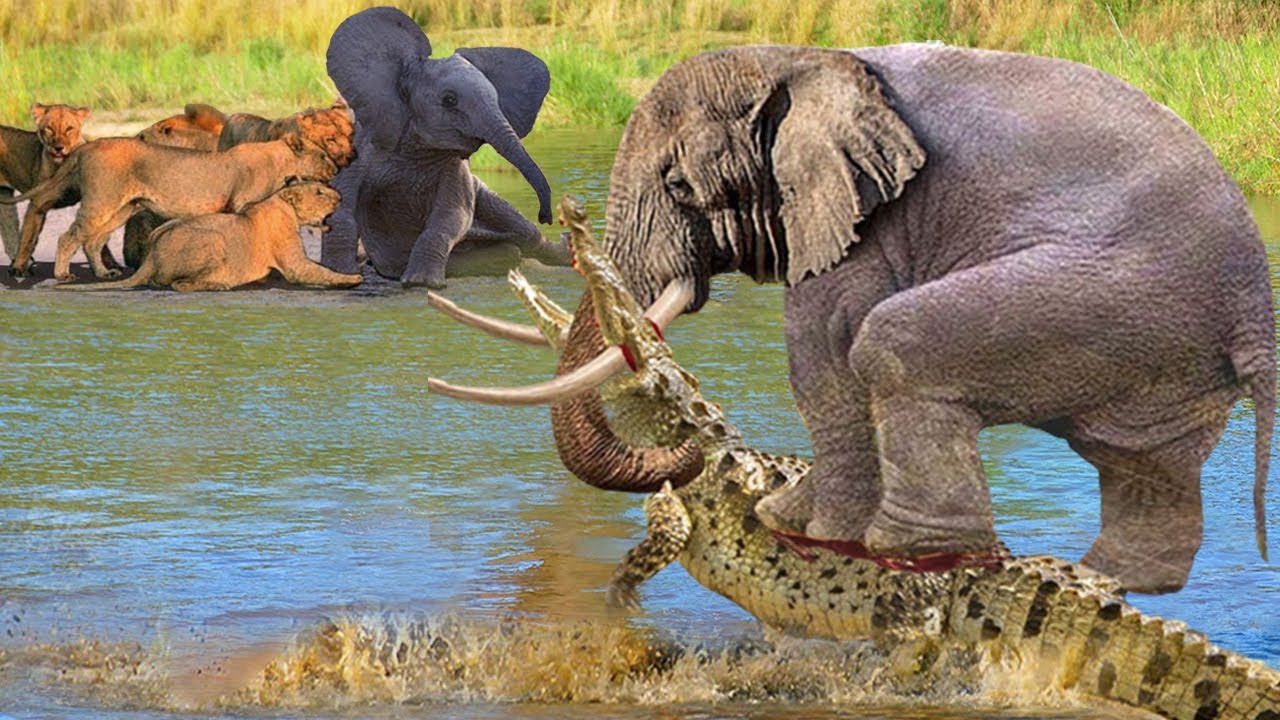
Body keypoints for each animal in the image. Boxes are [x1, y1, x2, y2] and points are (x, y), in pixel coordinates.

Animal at [322, 6, 570, 288]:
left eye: (497, 99)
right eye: (449, 100)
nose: (546, 216)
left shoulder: (456, 167)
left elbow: (451, 216)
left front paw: (423, 283)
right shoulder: (359, 145)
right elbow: (341, 210)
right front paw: (342, 278)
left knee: (526, 234)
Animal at [443, 45, 1276, 595]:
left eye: (679, 184)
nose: (677, 462)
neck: (792, 62)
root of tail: (1254, 311)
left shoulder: (864, 213)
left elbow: (820, 346)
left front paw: (793, 524)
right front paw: (785, 515)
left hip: (1106, 295)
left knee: (896, 344)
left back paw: (911, 548)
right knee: (1142, 460)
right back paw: (1106, 579)